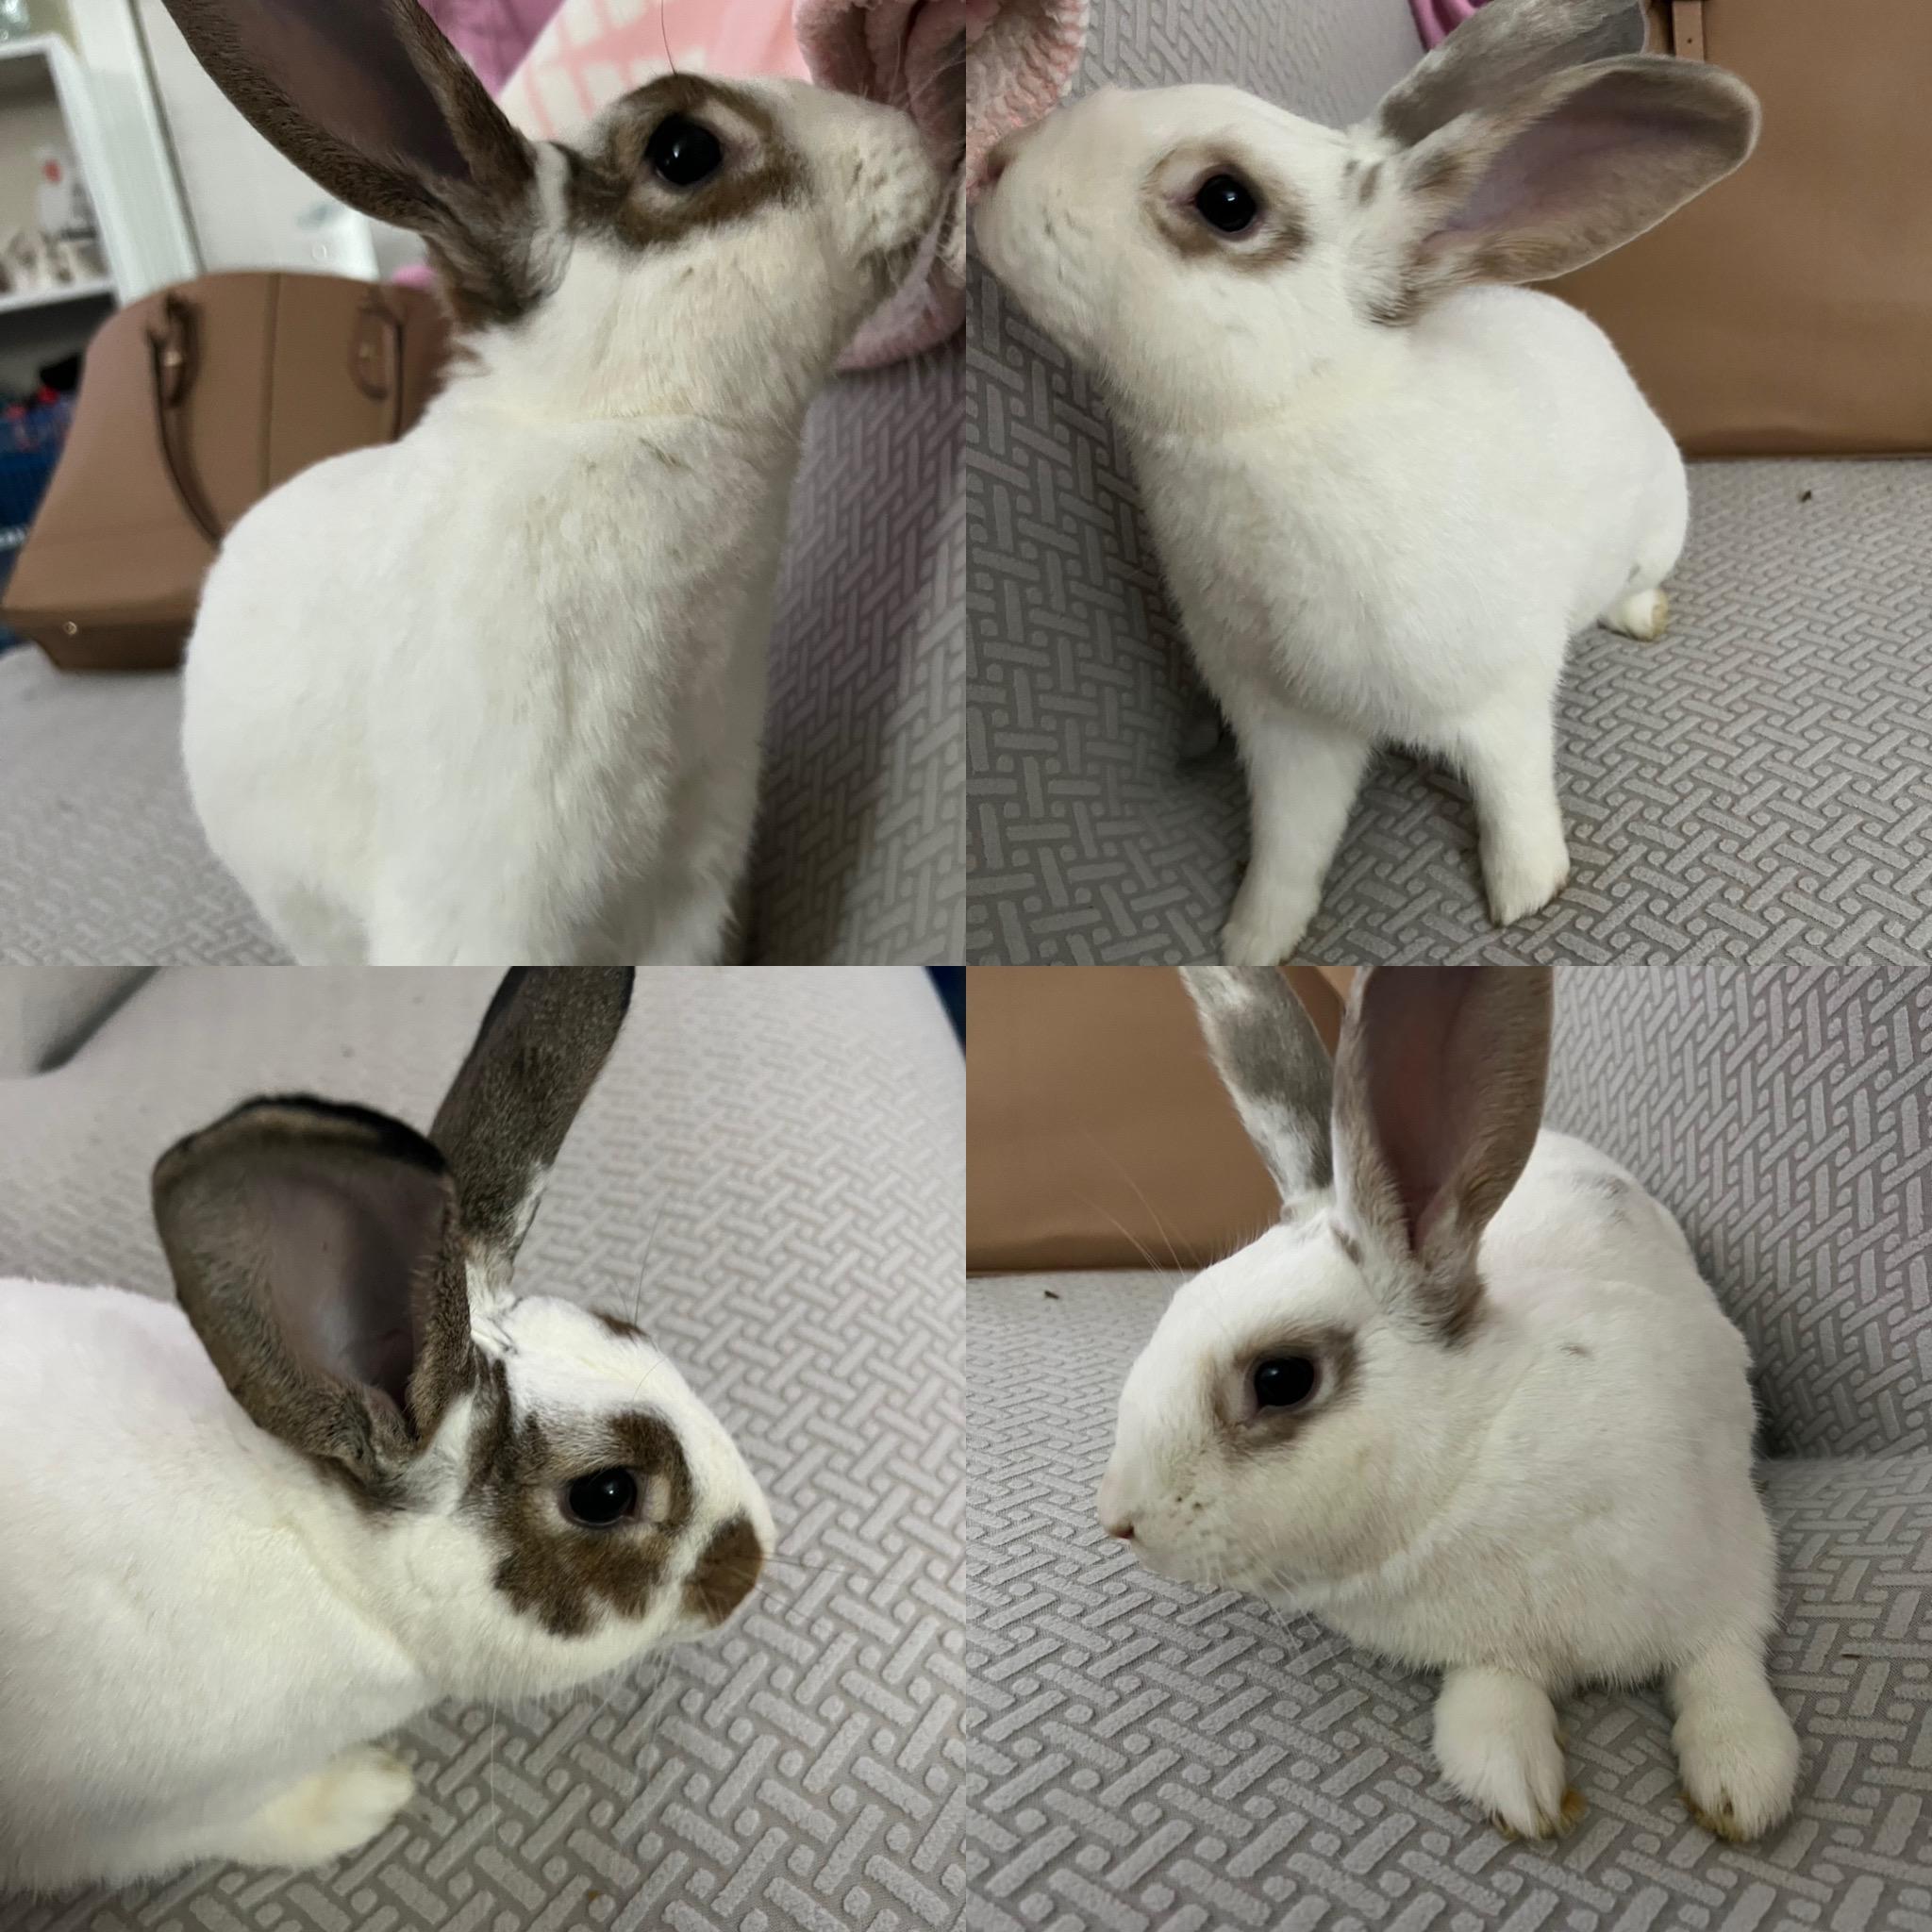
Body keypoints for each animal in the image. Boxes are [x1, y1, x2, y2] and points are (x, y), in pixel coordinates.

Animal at [0, 968, 774, 1894]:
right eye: (607, 1493)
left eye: (630, 1332)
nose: (754, 1560)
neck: (323, 1550)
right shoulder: (151, 1817)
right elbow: (253, 1825)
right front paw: (366, 1793)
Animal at [973, 0, 1760, 963]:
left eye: (1226, 201)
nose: (994, 163)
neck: (1285, 421)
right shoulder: (1286, 732)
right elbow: (1291, 845)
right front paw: (1253, 941)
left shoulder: (1497, 698)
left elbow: (1514, 793)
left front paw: (1528, 892)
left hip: (1657, 524)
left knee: (1635, 585)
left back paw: (1642, 615)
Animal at [1097, 965, 1801, 1842]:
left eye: (1281, 1379)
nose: (1118, 1518)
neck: (1476, 1457)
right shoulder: (1487, 1648)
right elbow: (1493, 1702)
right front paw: (1521, 1793)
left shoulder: (1734, 1569)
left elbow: (1725, 1669)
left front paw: (1745, 1788)